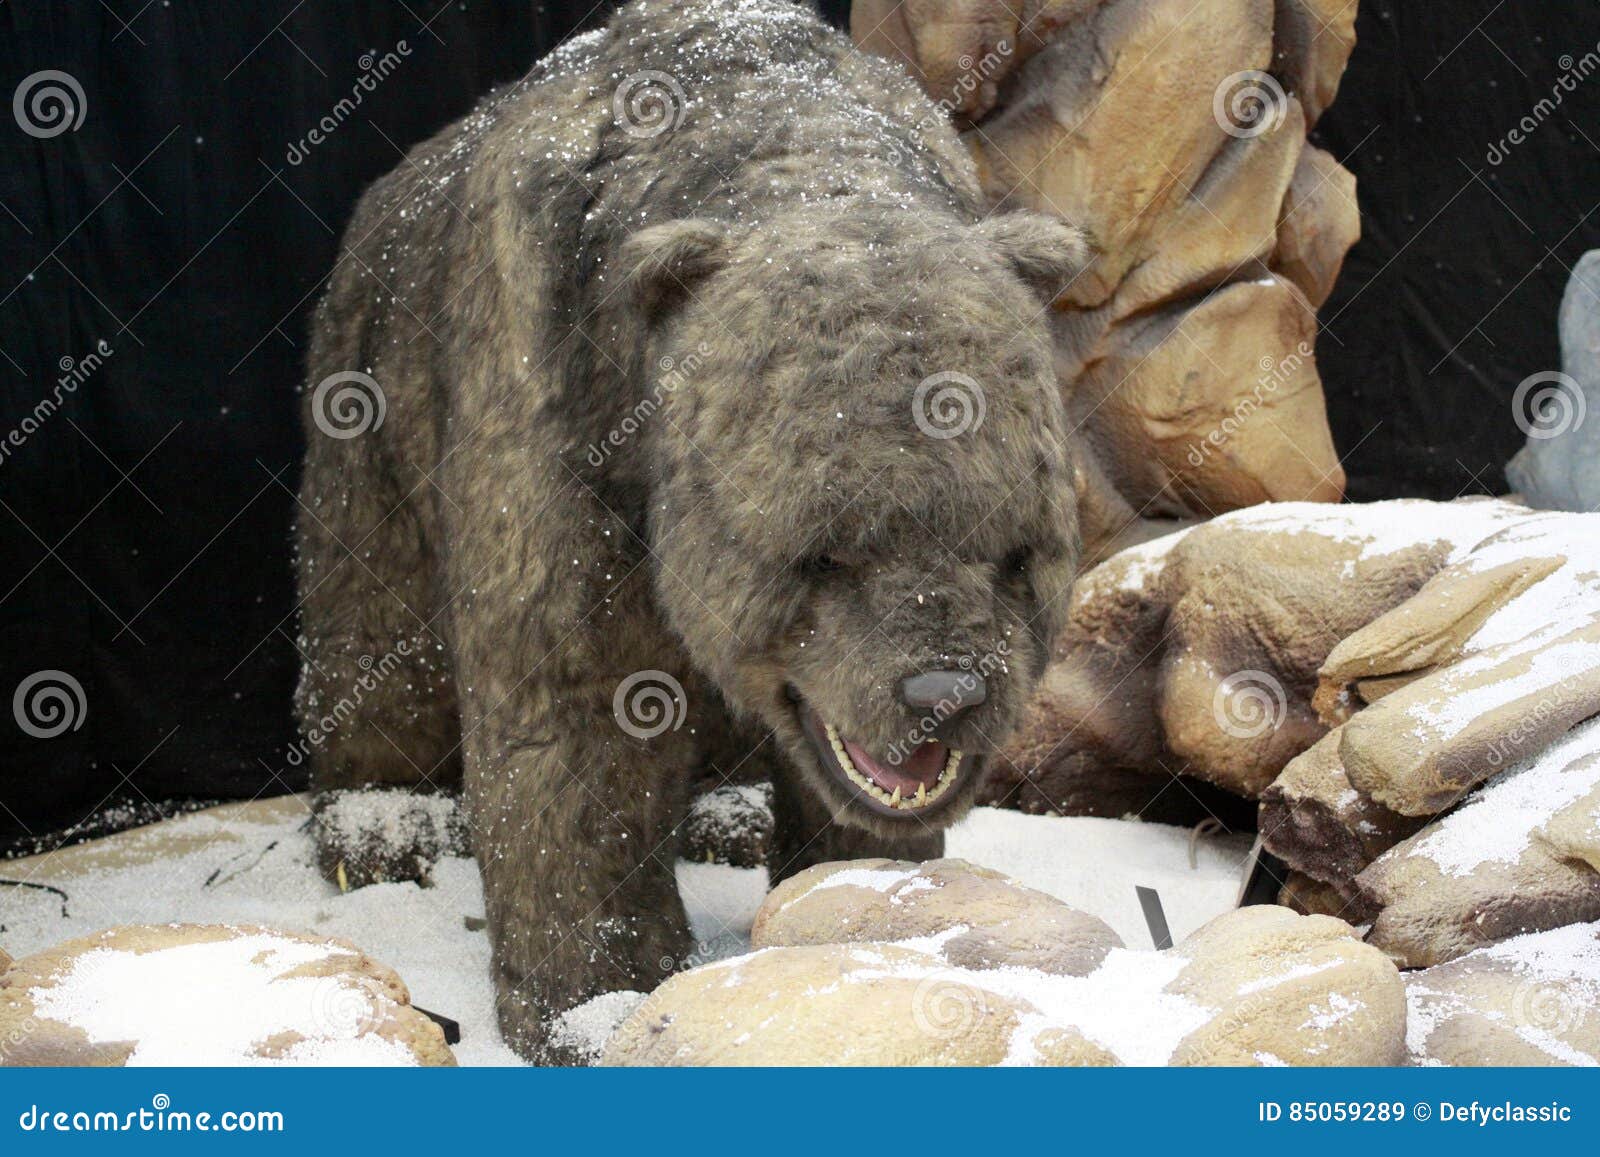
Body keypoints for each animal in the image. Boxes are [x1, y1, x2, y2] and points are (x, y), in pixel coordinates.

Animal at [294, 0, 1087, 1063]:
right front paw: (600, 1004)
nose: (942, 695)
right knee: (373, 619)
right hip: (374, 395)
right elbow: (578, 724)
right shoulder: (558, 418)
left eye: (1010, 548)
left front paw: (868, 912)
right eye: (824, 549)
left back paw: (732, 811)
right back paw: (379, 827)